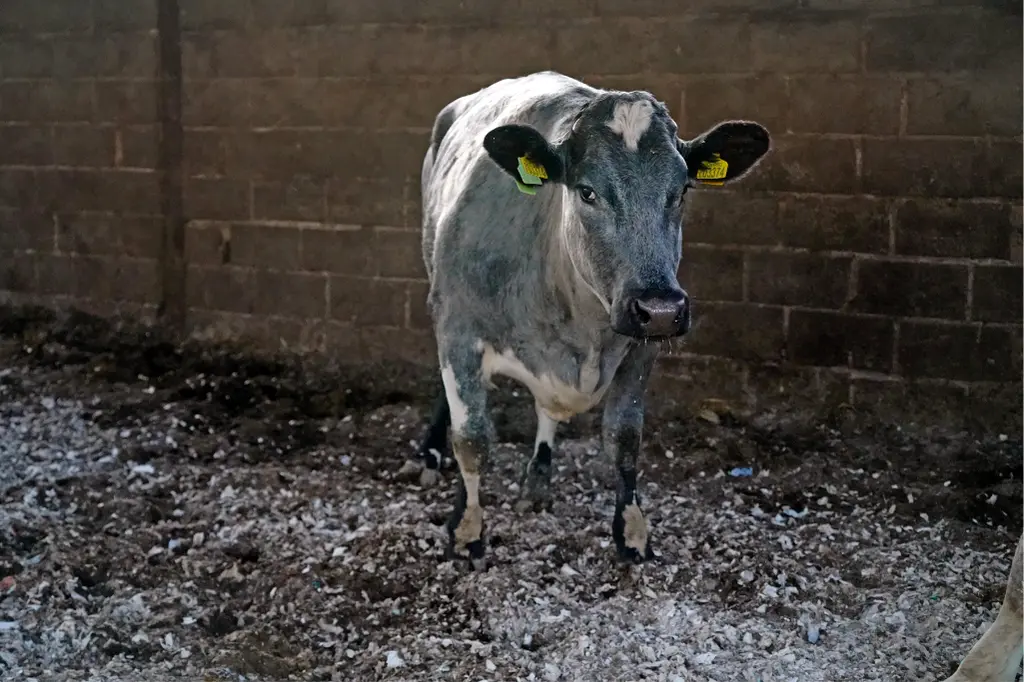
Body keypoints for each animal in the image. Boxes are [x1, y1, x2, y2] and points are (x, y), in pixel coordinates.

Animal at [397, 71, 771, 569]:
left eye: (681, 191)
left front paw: (632, 534)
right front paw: (467, 533)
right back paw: (429, 457)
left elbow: (624, 437)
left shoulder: (641, 348)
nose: (660, 308)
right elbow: (473, 439)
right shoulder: (458, 328)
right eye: (587, 191)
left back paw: (538, 480)